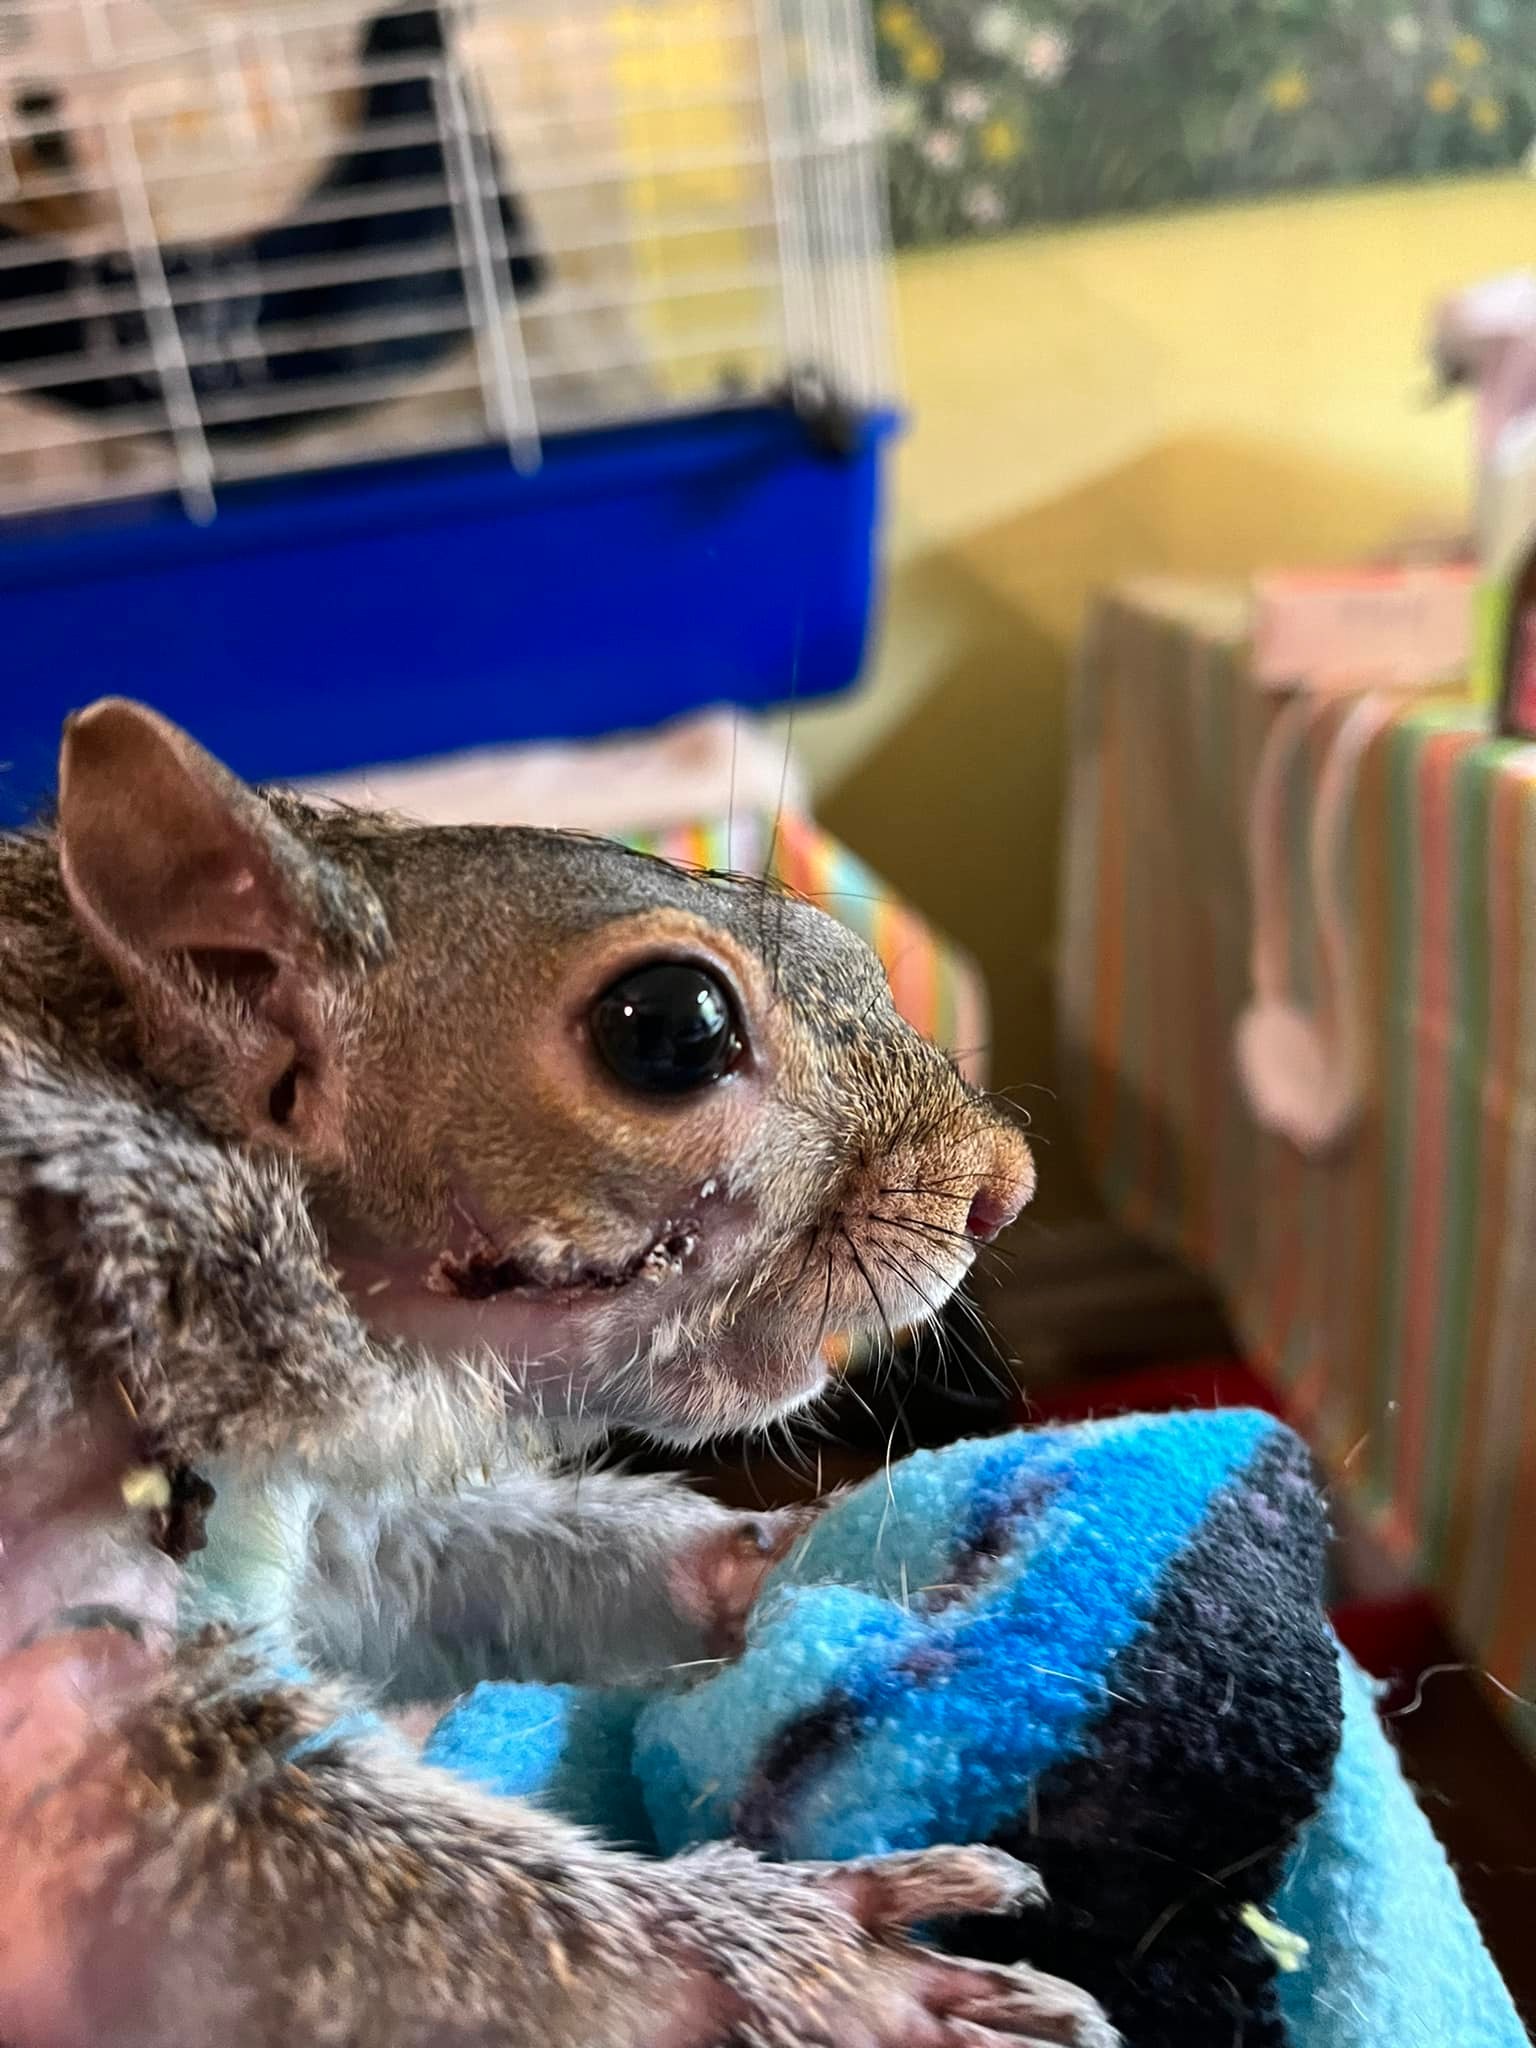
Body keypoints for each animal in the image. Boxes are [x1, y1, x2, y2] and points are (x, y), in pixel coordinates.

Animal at [0, 698, 1113, 2048]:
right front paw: (813, 1961)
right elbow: (295, 1894)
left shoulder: (313, 1516)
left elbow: (446, 1564)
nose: (1001, 1186)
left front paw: (766, 1553)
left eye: (837, 935)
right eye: (674, 1027)